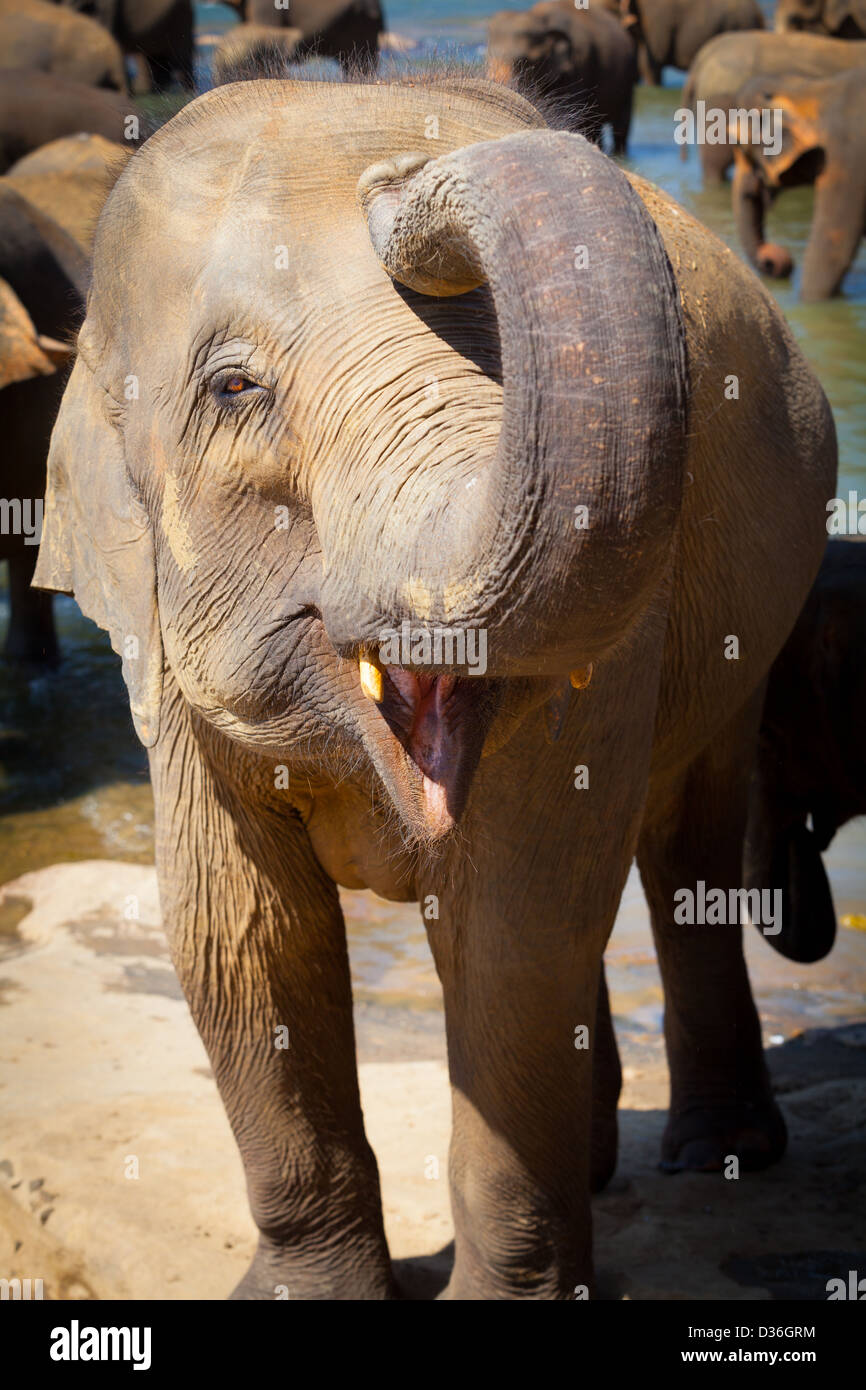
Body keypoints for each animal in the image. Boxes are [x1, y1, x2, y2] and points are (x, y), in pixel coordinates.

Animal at [34, 73, 836, 1299]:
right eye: (234, 387)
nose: (398, 174)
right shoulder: (159, 646)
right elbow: (237, 929)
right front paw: (298, 1291)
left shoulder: (618, 639)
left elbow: (514, 923)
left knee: (679, 853)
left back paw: (714, 1152)